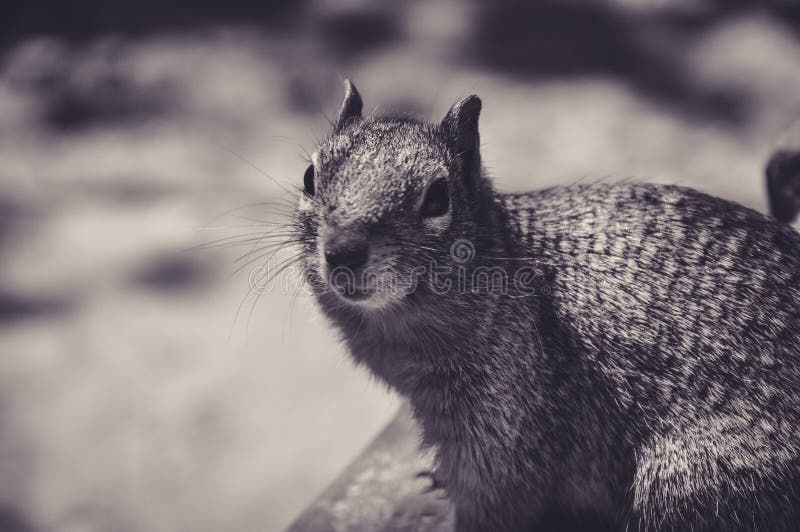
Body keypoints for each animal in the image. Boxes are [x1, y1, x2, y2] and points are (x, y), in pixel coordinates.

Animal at [293, 80, 800, 531]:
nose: (342, 251)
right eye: (309, 177)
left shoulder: (506, 426)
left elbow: (496, 504)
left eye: (437, 197)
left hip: (682, 489)